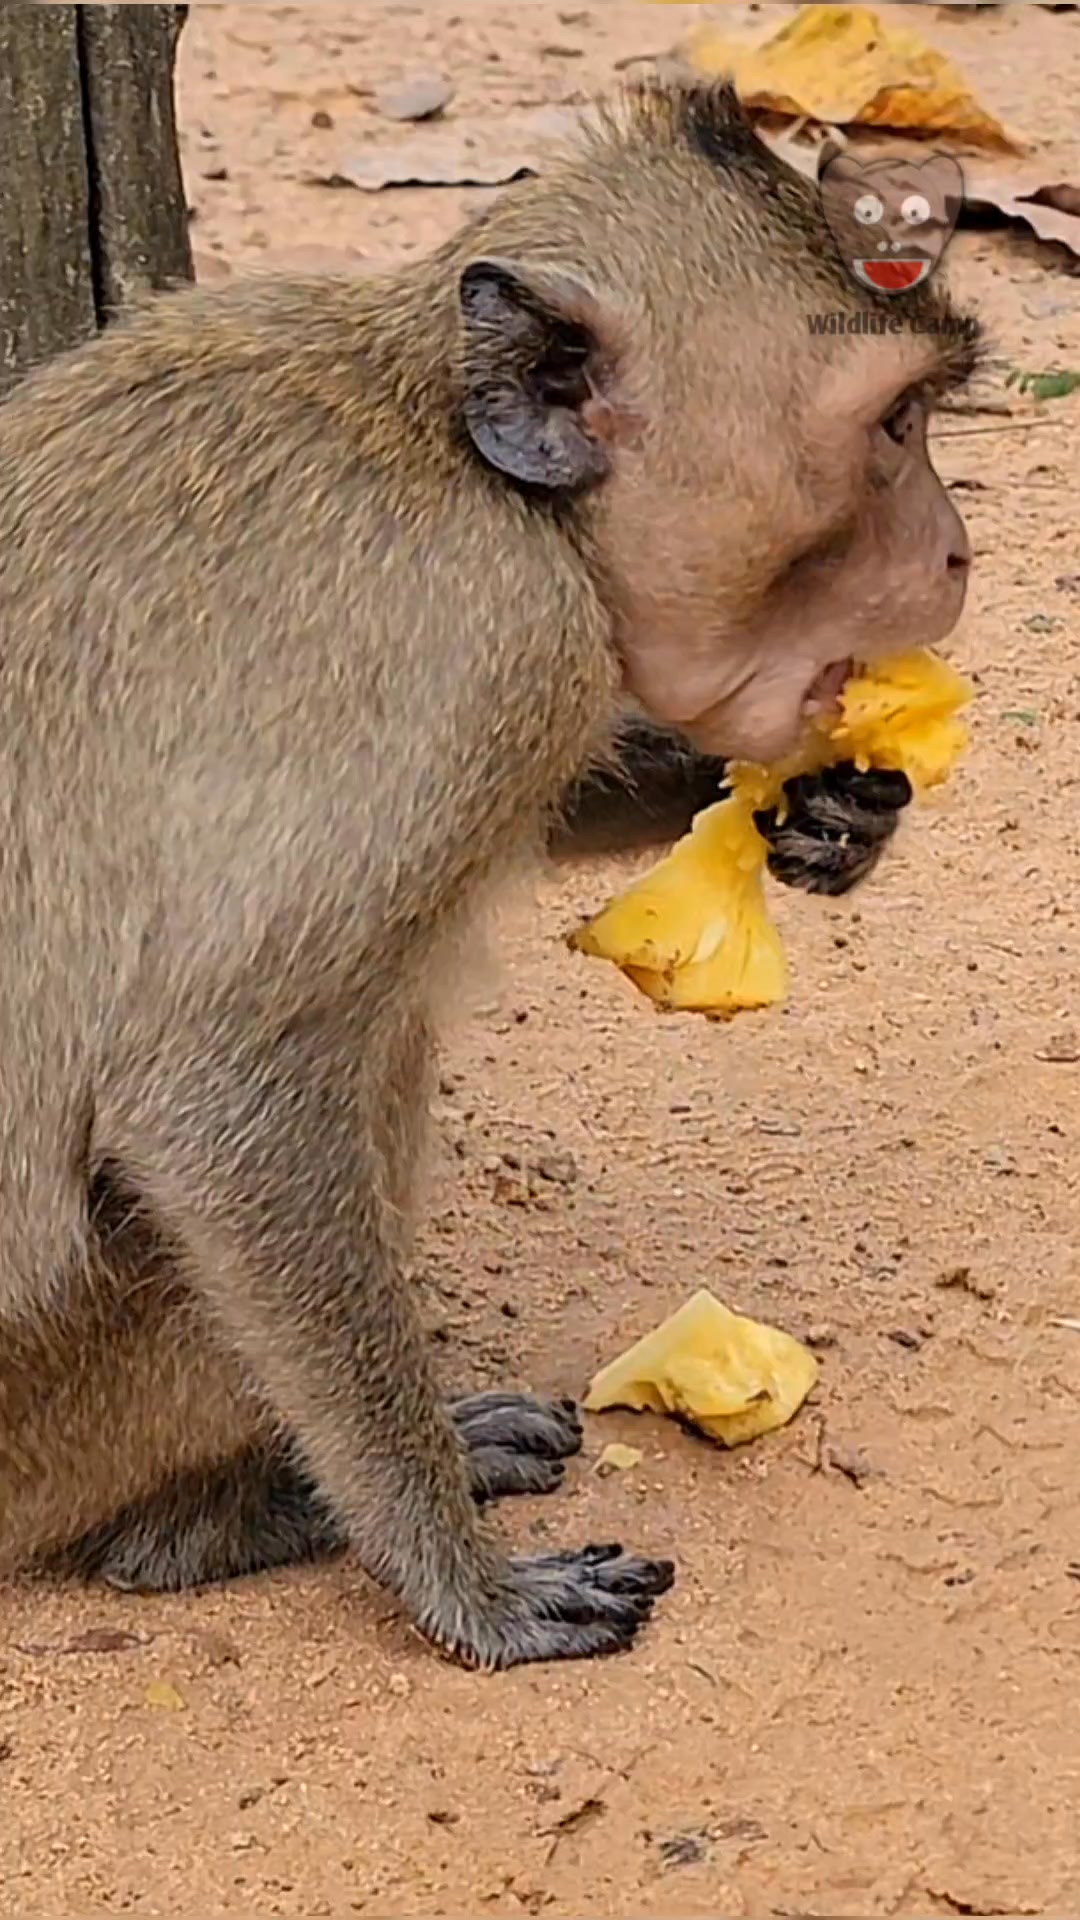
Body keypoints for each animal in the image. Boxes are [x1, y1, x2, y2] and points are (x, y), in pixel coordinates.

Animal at [0, 81, 974, 1669]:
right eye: (894, 427)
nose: (956, 550)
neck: (445, 441)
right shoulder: (490, 640)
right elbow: (207, 1091)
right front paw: (460, 1580)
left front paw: (826, 806)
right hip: (55, 1386)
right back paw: (216, 1519)